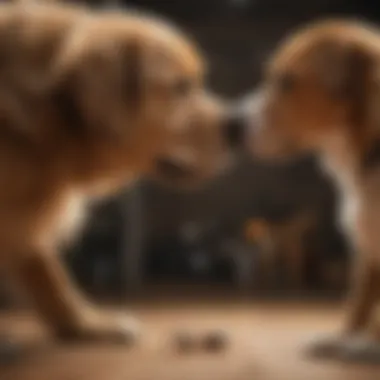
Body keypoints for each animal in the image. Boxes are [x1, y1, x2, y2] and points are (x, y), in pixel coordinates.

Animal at [240, 20, 380, 362]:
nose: (231, 124)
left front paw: (364, 344)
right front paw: (342, 339)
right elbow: (358, 305)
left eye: (288, 82)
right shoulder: (367, 249)